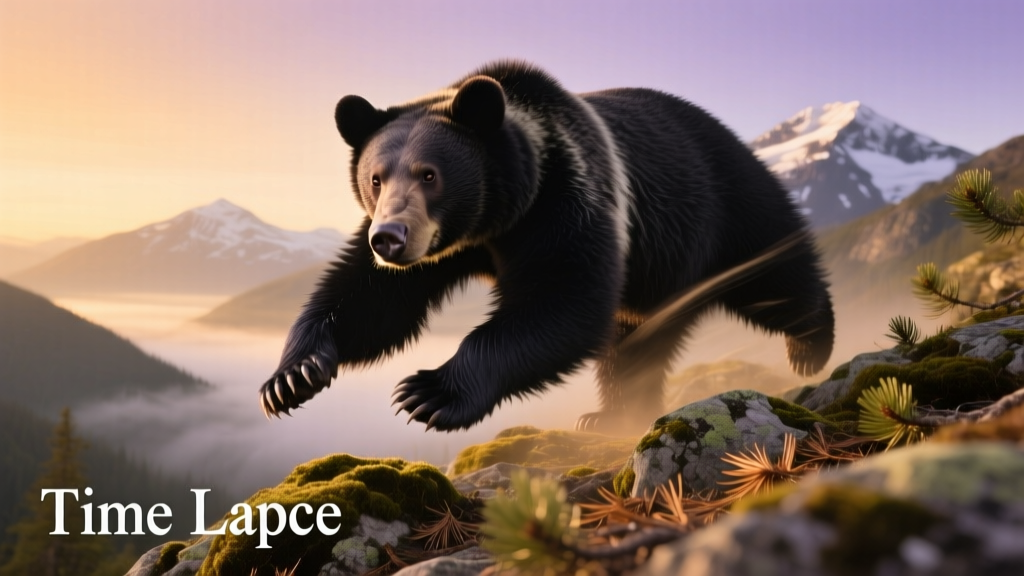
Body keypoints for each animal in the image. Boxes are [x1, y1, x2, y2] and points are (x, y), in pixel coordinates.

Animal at [257, 61, 834, 433]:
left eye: (430, 174)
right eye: (375, 178)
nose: (389, 238)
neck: (494, 220)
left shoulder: (567, 200)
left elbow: (562, 299)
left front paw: (429, 392)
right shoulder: (439, 249)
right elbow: (370, 299)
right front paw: (293, 377)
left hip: (723, 203)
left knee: (777, 272)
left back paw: (811, 346)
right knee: (635, 347)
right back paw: (612, 415)